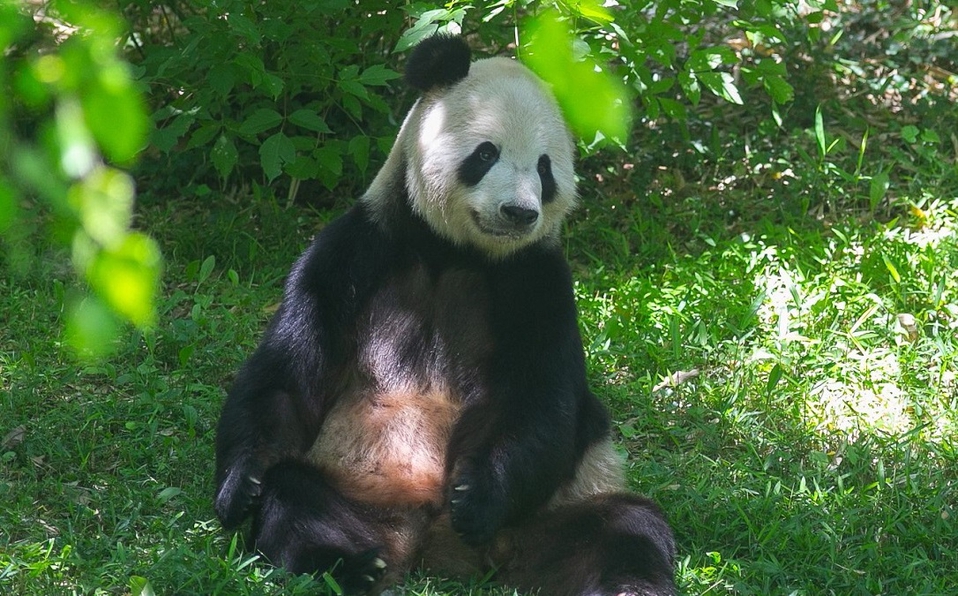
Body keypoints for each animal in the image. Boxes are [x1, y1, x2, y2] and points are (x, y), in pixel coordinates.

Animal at [214, 35, 676, 596]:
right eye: (486, 153)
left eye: (545, 169)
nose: (519, 213)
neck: (455, 253)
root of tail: (434, 549)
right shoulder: (357, 250)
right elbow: (290, 369)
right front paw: (240, 485)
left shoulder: (537, 281)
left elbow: (536, 398)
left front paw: (475, 500)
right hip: (353, 487)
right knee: (295, 498)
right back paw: (354, 564)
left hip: (560, 507)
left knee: (625, 528)